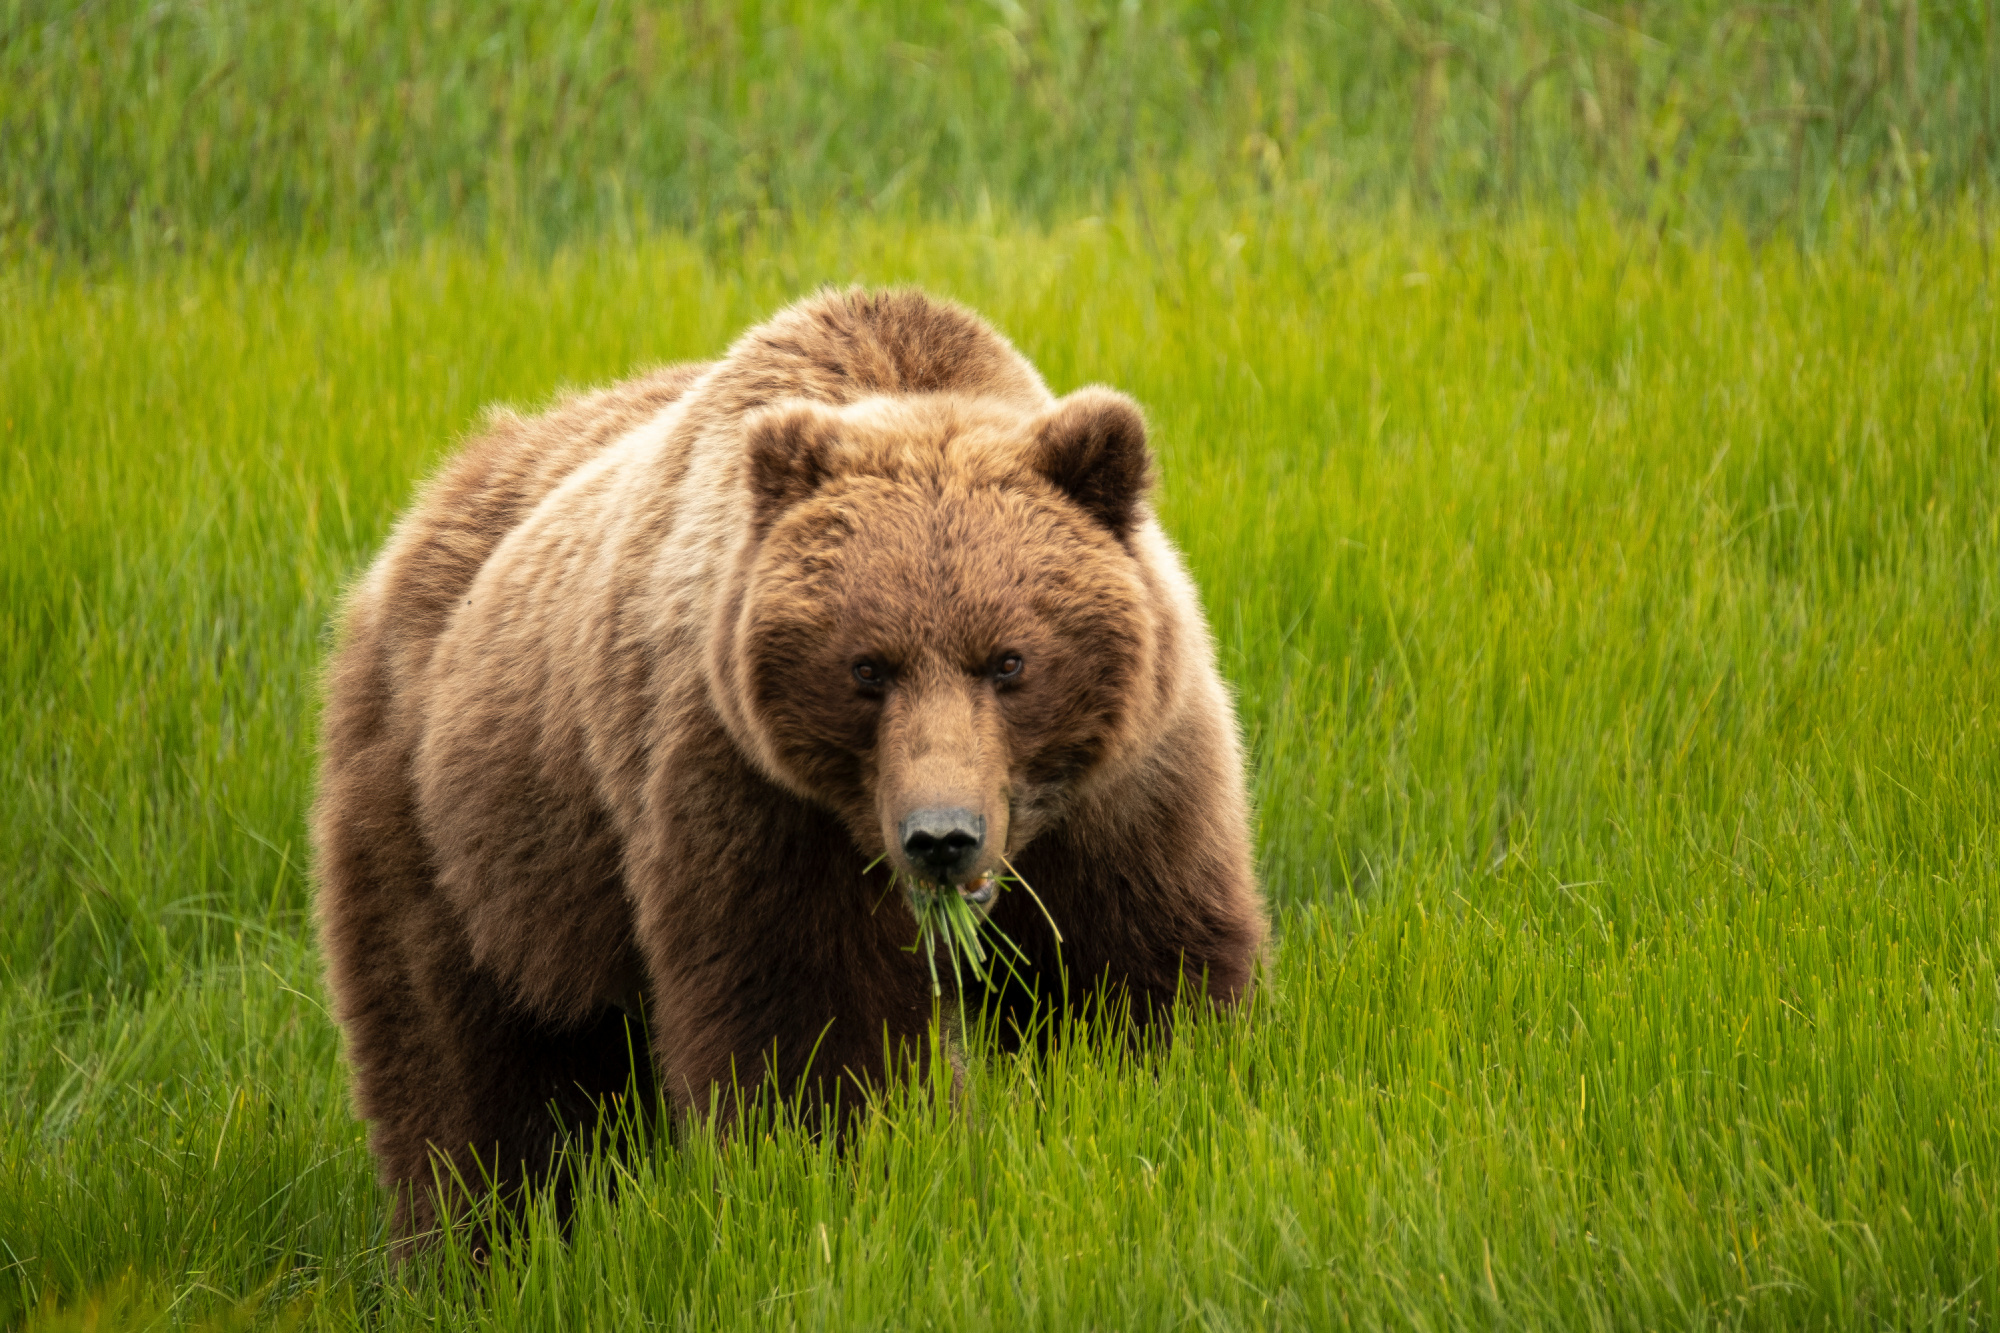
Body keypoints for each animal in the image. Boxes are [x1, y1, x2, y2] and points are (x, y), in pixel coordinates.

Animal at [312, 288, 1267, 1251]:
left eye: (1010, 661)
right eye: (867, 667)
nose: (941, 838)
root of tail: (425, 513)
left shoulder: (1129, 792)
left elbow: (1137, 979)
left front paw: (1155, 1102)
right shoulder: (749, 793)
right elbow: (812, 1030)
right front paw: (859, 1174)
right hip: (458, 829)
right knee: (465, 1059)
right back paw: (479, 1239)